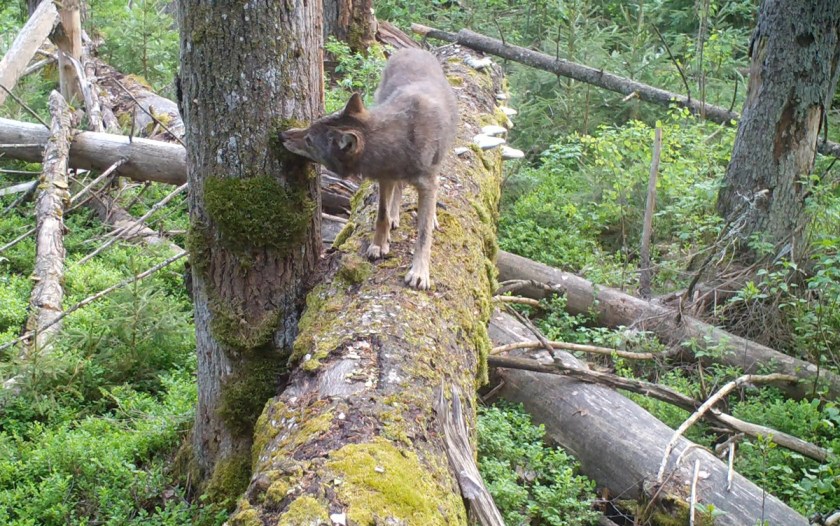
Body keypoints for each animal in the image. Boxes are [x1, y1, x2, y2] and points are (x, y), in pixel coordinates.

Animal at [280, 48, 459, 289]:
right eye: (309, 127)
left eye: (309, 140)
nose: (282, 135)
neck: (402, 141)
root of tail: (412, 49)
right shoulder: (384, 177)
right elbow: (381, 215)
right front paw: (378, 245)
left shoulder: (427, 184)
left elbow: (423, 235)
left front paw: (420, 272)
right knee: (397, 192)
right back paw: (395, 217)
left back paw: (430, 219)